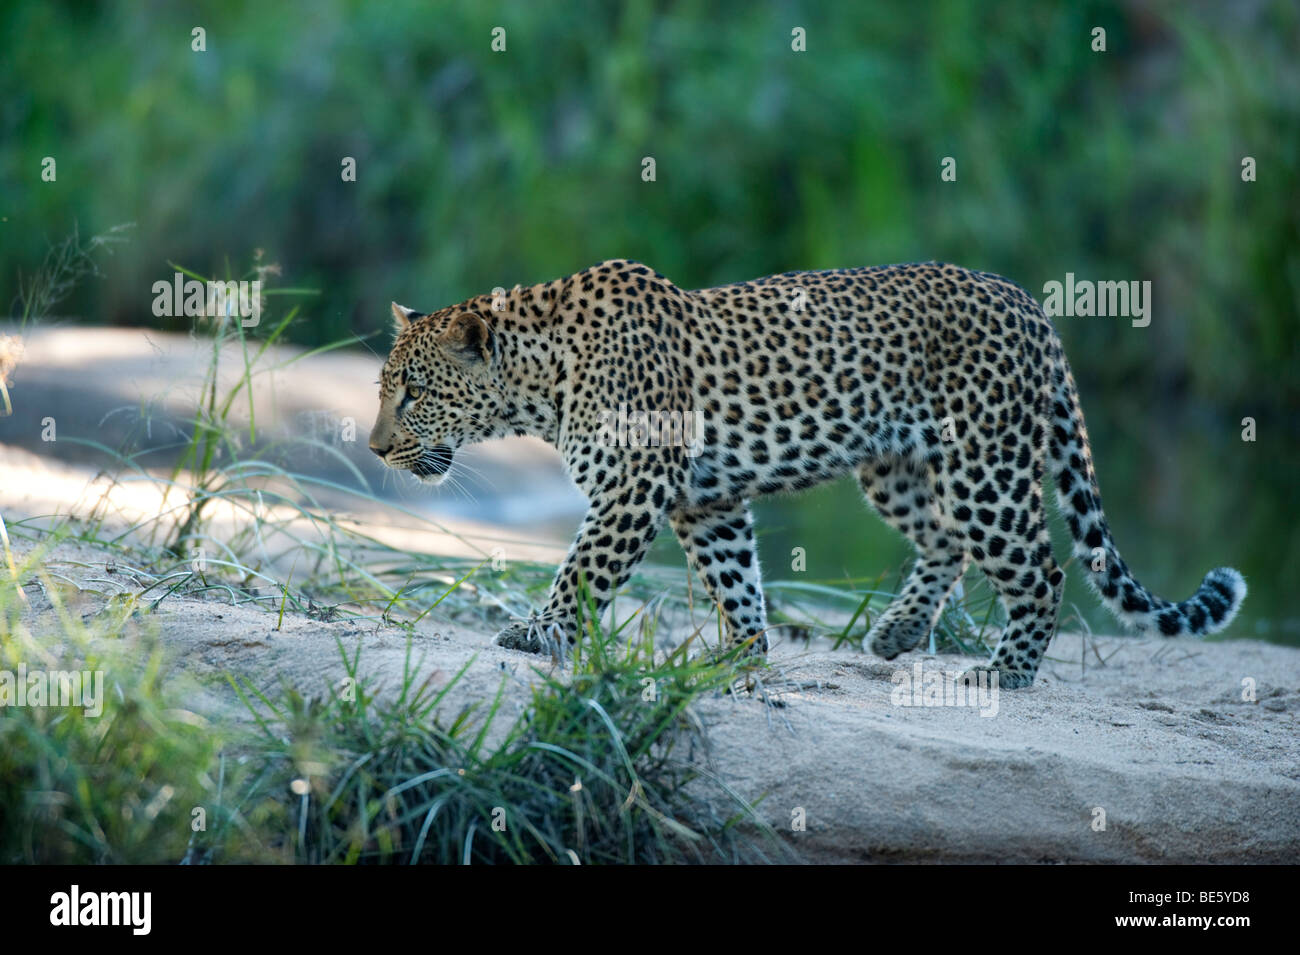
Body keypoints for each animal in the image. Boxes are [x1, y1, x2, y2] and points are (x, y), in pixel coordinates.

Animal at [368, 259, 1246, 688]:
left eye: (413, 392)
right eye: (385, 389)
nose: (374, 448)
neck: (540, 382)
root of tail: (1031, 305)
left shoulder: (633, 487)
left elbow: (582, 570)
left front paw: (537, 631)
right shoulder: (707, 500)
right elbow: (735, 577)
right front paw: (743, 652)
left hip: (985, 466)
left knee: (1041, 566)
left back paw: (1008, 671)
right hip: (898, 464)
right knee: (945, 541)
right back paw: (897, 632)